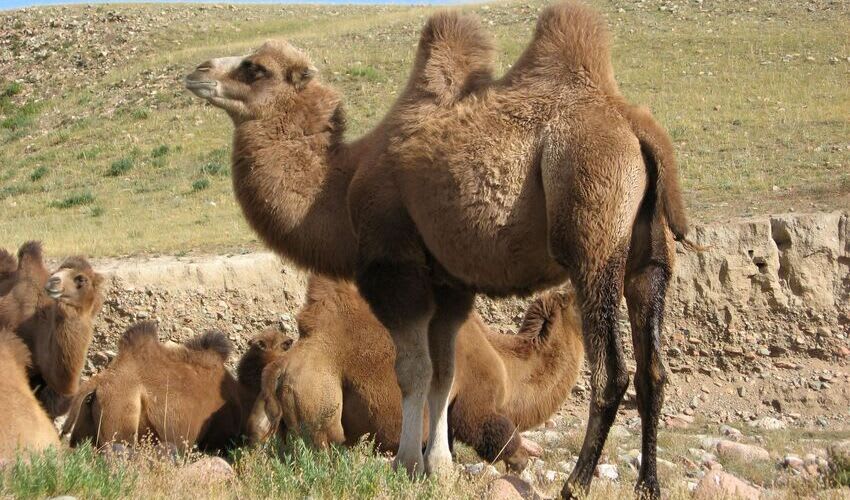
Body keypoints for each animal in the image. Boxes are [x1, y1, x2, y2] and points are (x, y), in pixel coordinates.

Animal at [248, 276, 583, 471]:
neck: (504, 362)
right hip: (318, 396)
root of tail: (281, 366)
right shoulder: (475, 396)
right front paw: (522, 458)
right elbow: (494, 432)